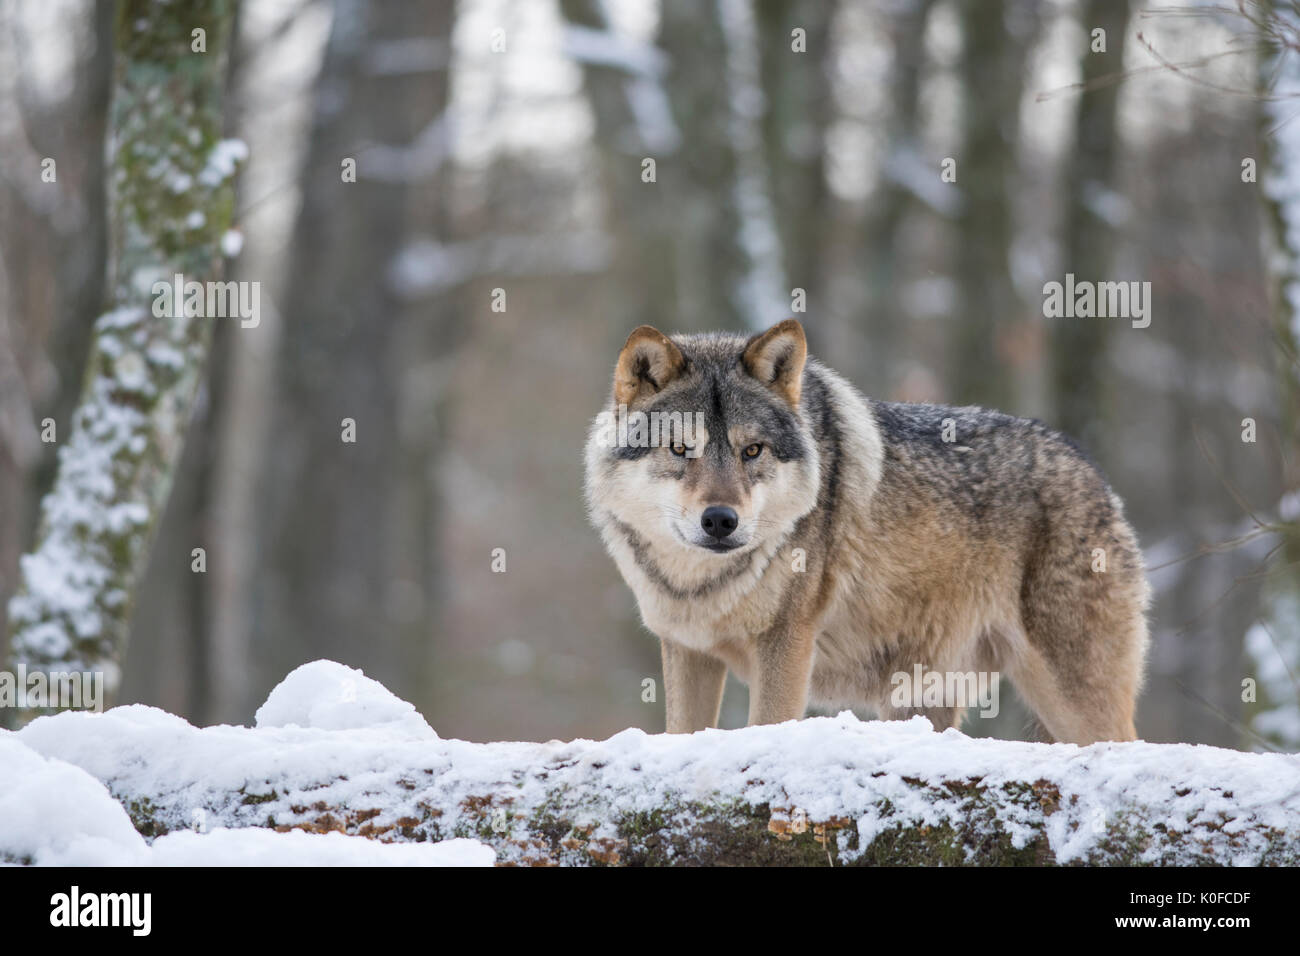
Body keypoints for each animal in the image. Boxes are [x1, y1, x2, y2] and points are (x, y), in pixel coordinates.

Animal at [584, 319, 1150, 744]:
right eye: (681, 448)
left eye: (753, 451)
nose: (721, 520)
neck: (700, 581)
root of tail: (1092, 472)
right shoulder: (687, 649)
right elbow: (681, 733)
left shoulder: (787, 643)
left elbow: (767, 724)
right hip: (922, 698)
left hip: (1074, 700)